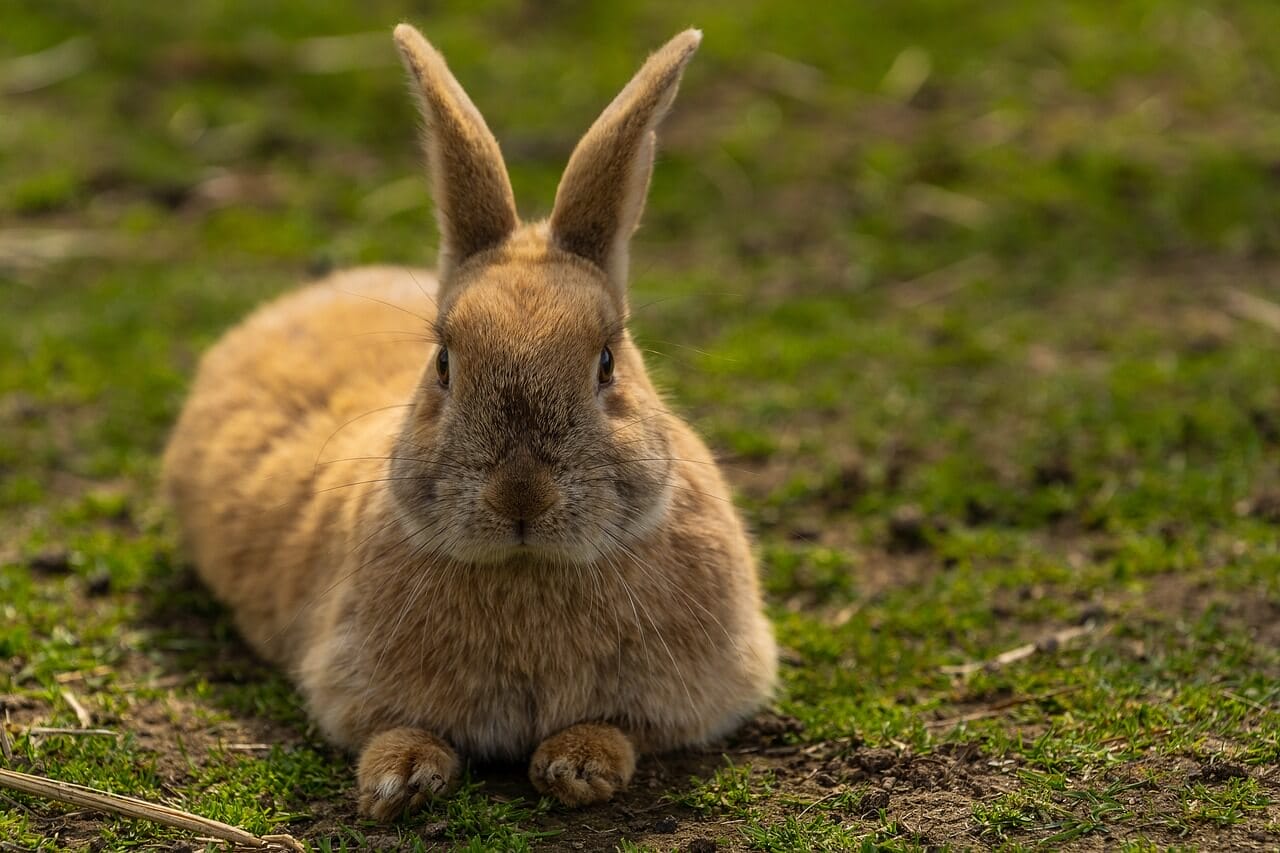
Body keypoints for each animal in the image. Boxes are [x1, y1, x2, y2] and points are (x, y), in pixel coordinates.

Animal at [162, 23, 777, 821]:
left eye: (607, 363)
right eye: (444, 363)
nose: (520, 496)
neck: (528, 569)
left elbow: (621, 728)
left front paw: (579, 764)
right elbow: (396, 728)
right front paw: (398, 779)